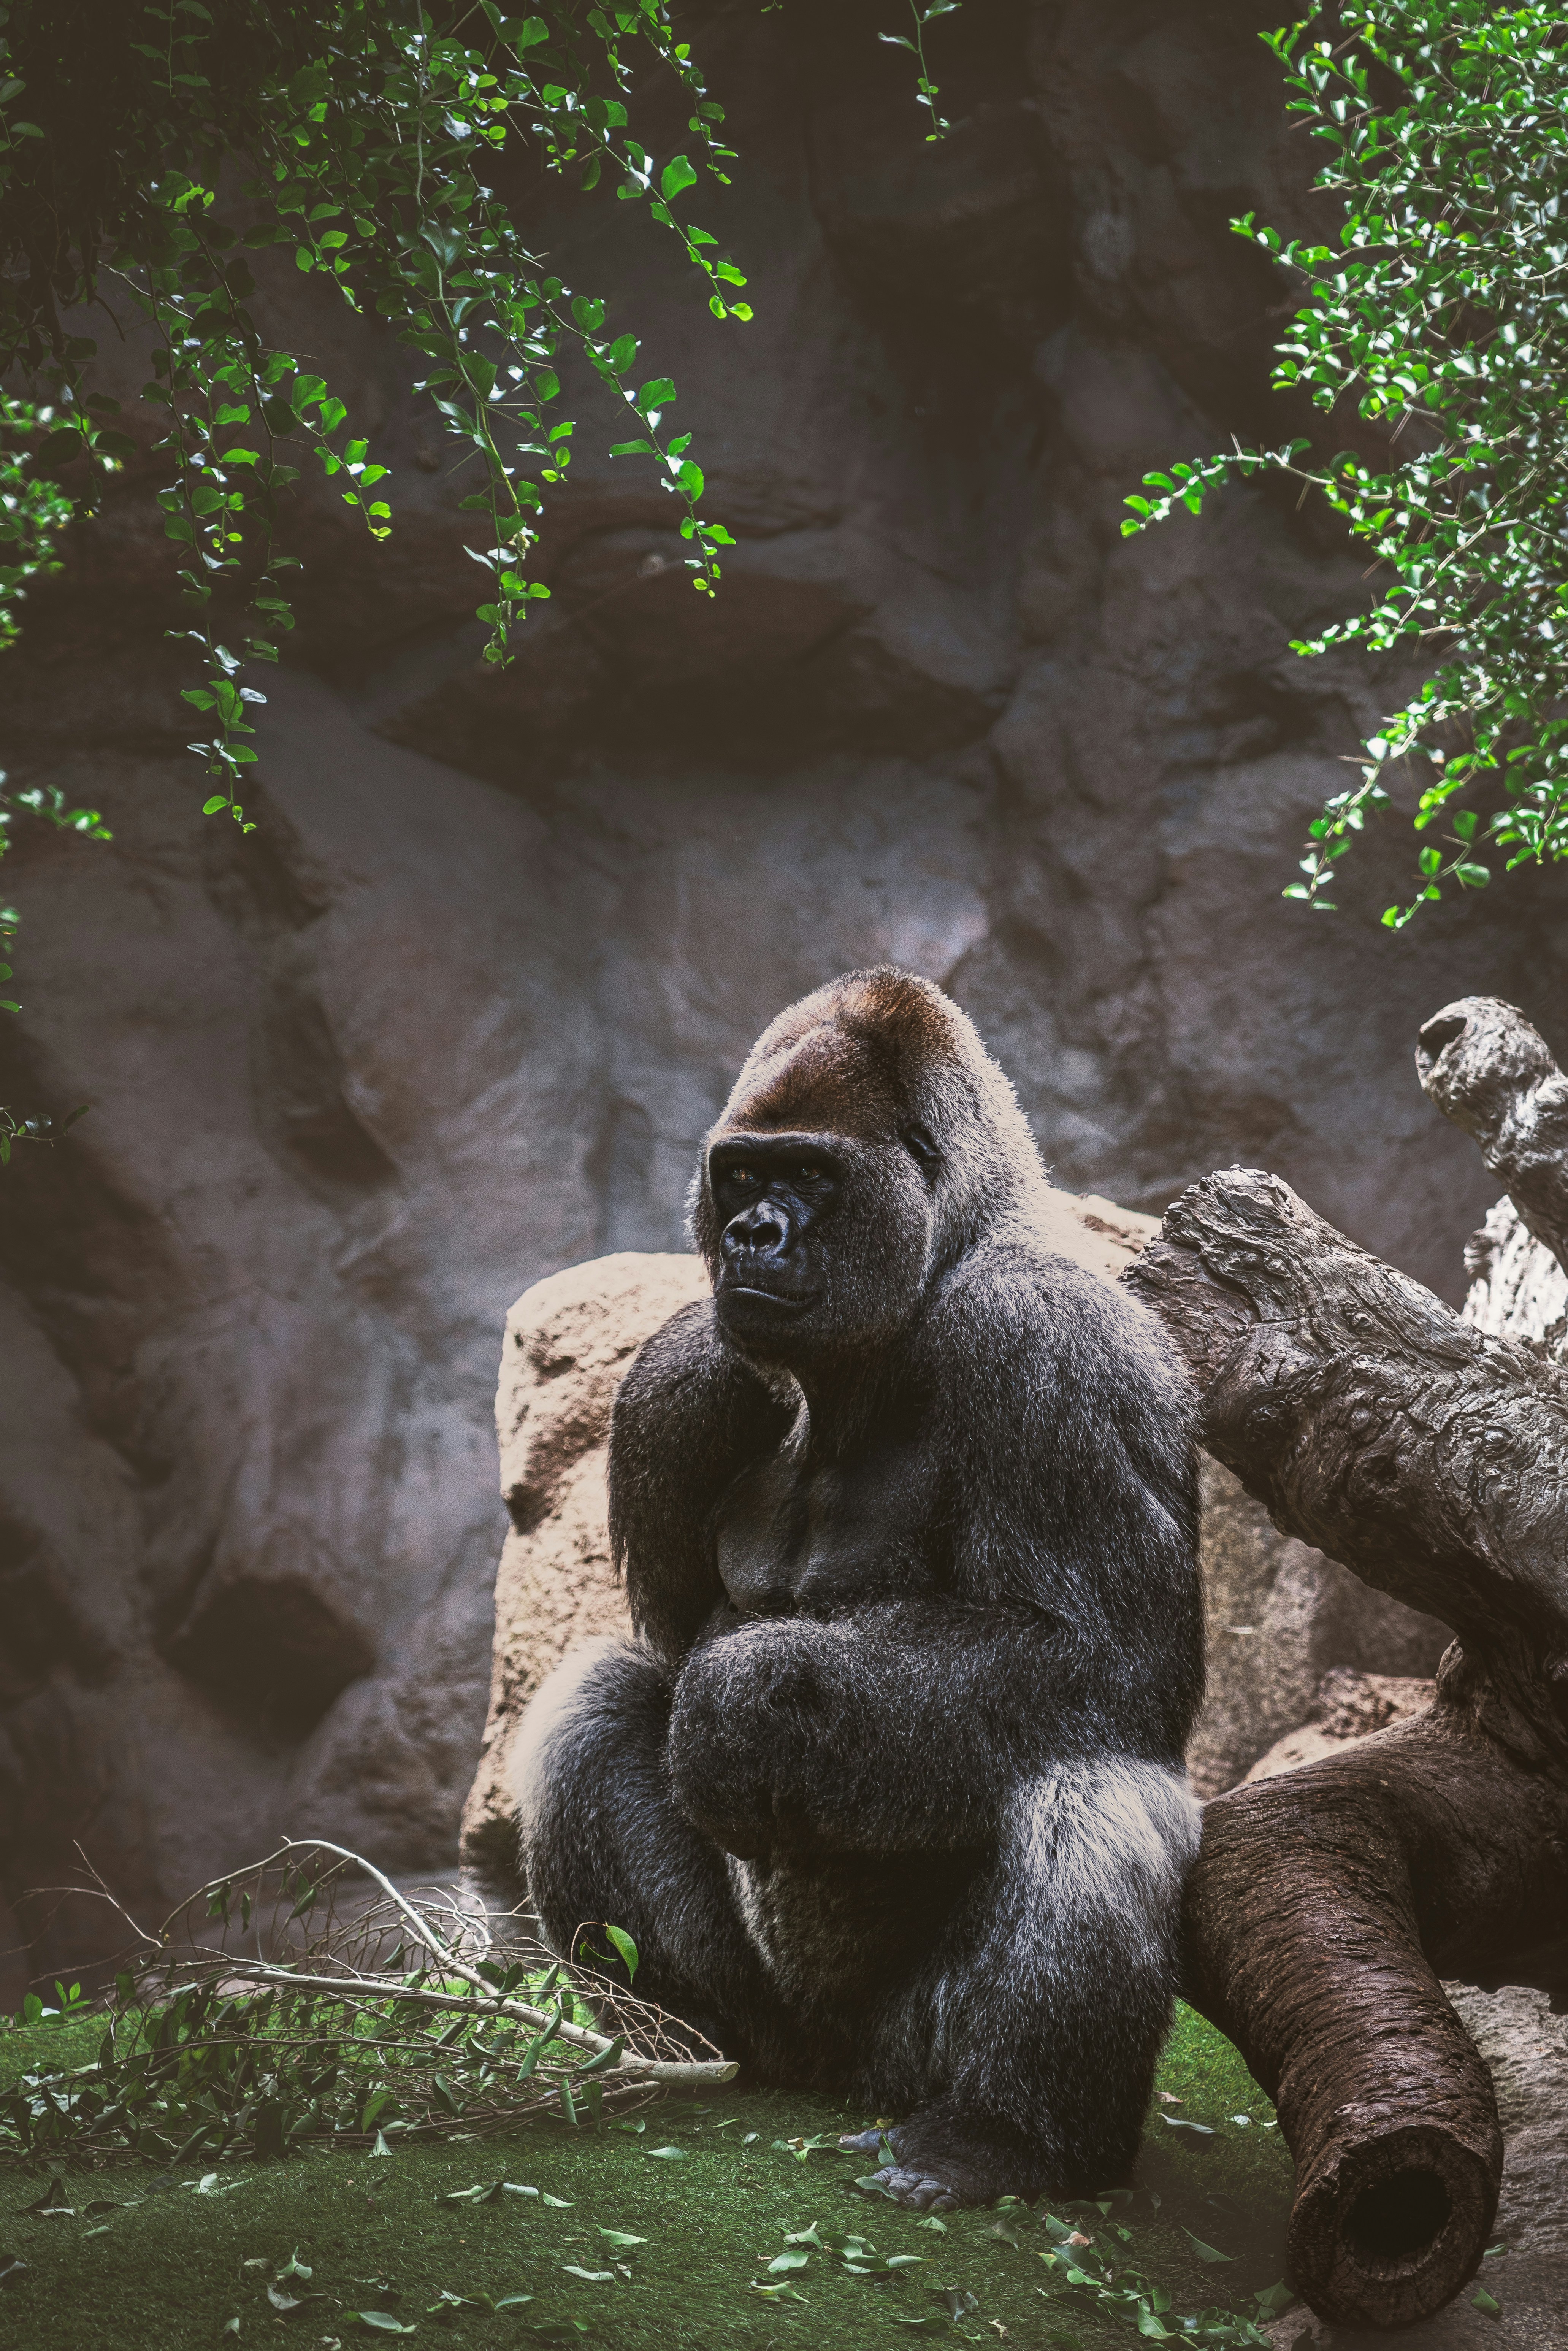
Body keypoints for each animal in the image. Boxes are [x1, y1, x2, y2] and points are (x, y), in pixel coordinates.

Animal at [513, 967, 1205, 2209]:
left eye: (809, 1177)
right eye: (743, 1176)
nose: (752, 1232)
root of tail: (837, 2069)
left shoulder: (1056, 1342)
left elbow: (1102, 1659)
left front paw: (747, 1703)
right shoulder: (681, 1381)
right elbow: (666, 1652)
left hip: (907, 2052)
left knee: (1092, 1778)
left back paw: (1006, 2135)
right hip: (786, 2031)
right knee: (594, 1702)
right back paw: (685, 2045)